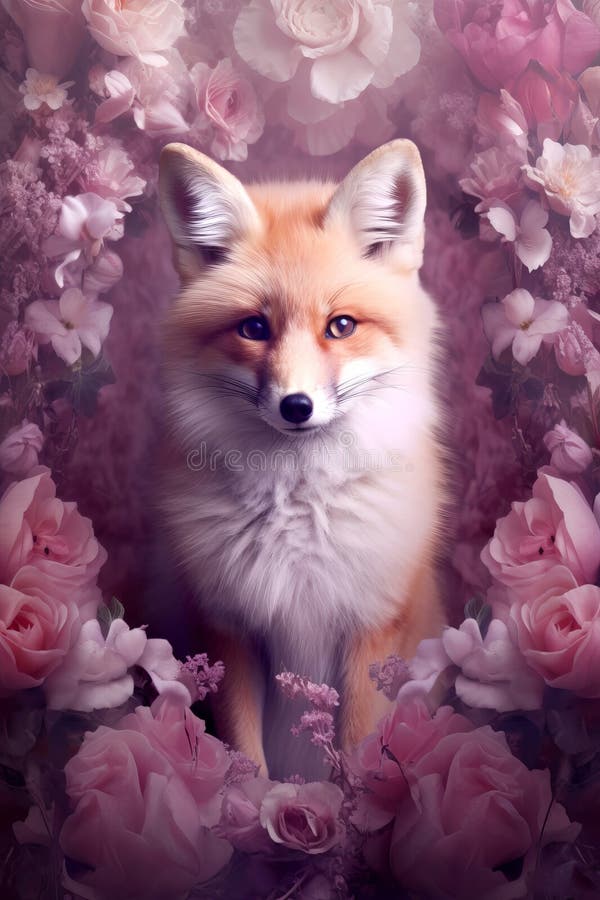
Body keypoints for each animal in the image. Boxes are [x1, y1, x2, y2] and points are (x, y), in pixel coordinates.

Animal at [156, 139, 446, 779]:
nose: (296, 406)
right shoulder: (231, 629)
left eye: (341, 326)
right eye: (253, 328)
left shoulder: (371, 628)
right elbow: (246, 757)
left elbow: (356, 753)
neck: (298, 512)